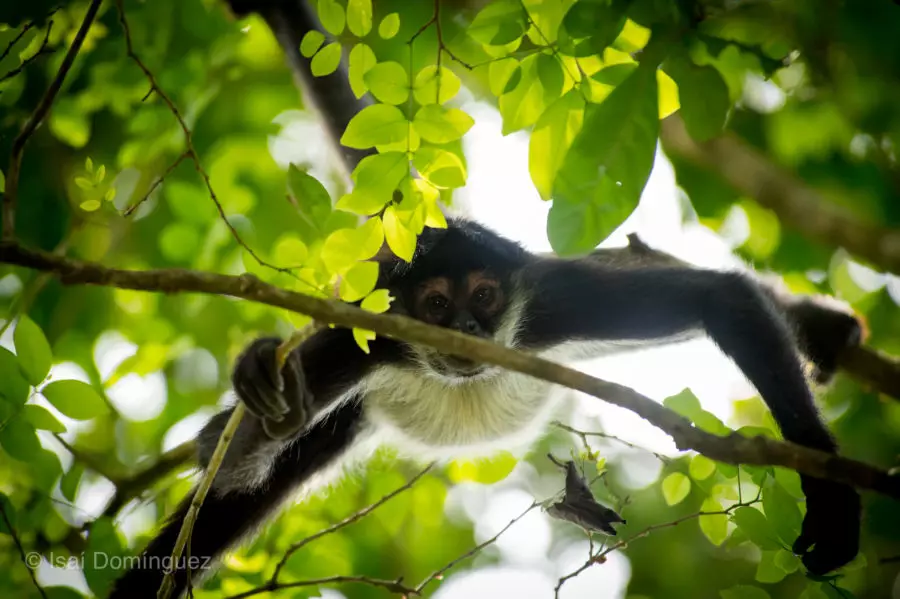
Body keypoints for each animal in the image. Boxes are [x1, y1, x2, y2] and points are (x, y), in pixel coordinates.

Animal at [109, 218, 860, 596]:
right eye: (438, 304)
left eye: (486, 297)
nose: (469, 329)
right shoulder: (361, 338)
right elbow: (222, 458)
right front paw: (264, 379)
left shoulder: (551, 301)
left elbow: (721, 297)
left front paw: (832, 502)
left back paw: (817, 323)